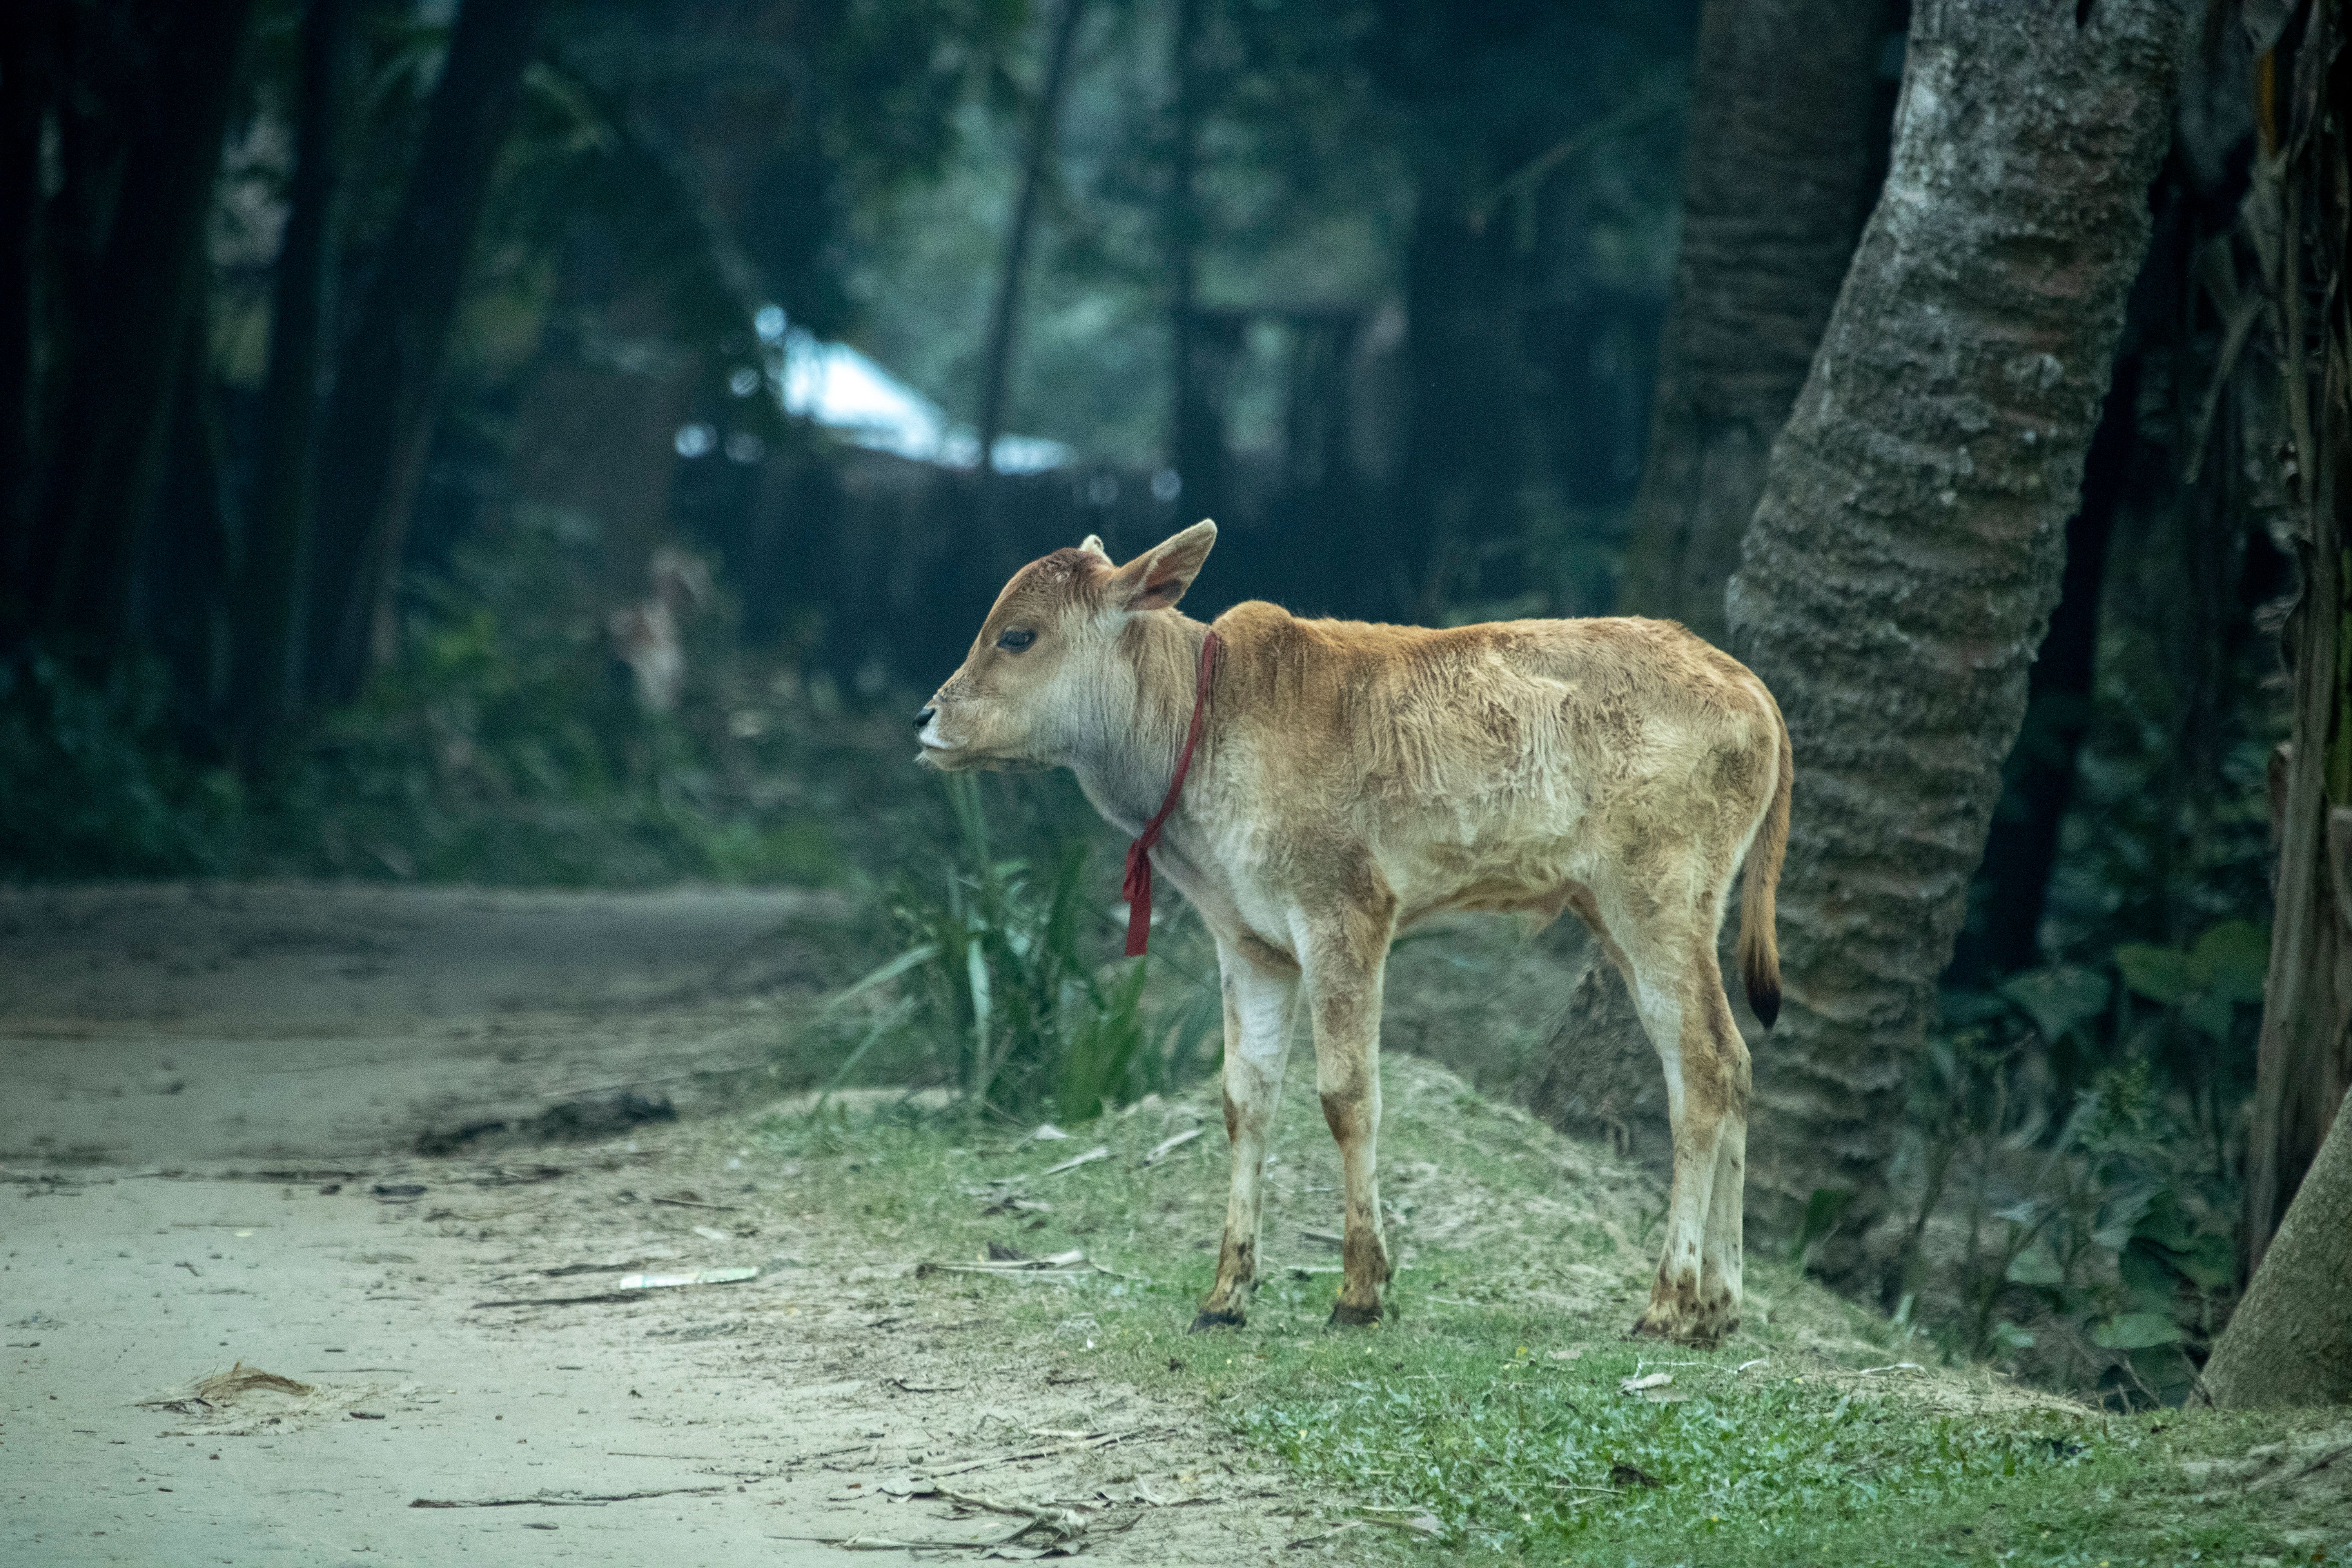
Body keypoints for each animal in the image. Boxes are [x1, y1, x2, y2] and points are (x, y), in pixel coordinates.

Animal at [913, 522, 1790, 1345]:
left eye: (1017, 635)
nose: (928, 716)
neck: (1203, 723)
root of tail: (1749, 683)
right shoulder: (1250, 942)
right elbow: (1244, 1098)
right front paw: (1225, 1296)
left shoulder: (1344, 915)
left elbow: (1347, 1094)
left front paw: (1360, 1292)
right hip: (1620, 913)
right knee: (1723, 1065)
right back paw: (1718, 1305)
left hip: (1659, 900)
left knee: (1706, 1067)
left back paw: (1671, 1302)